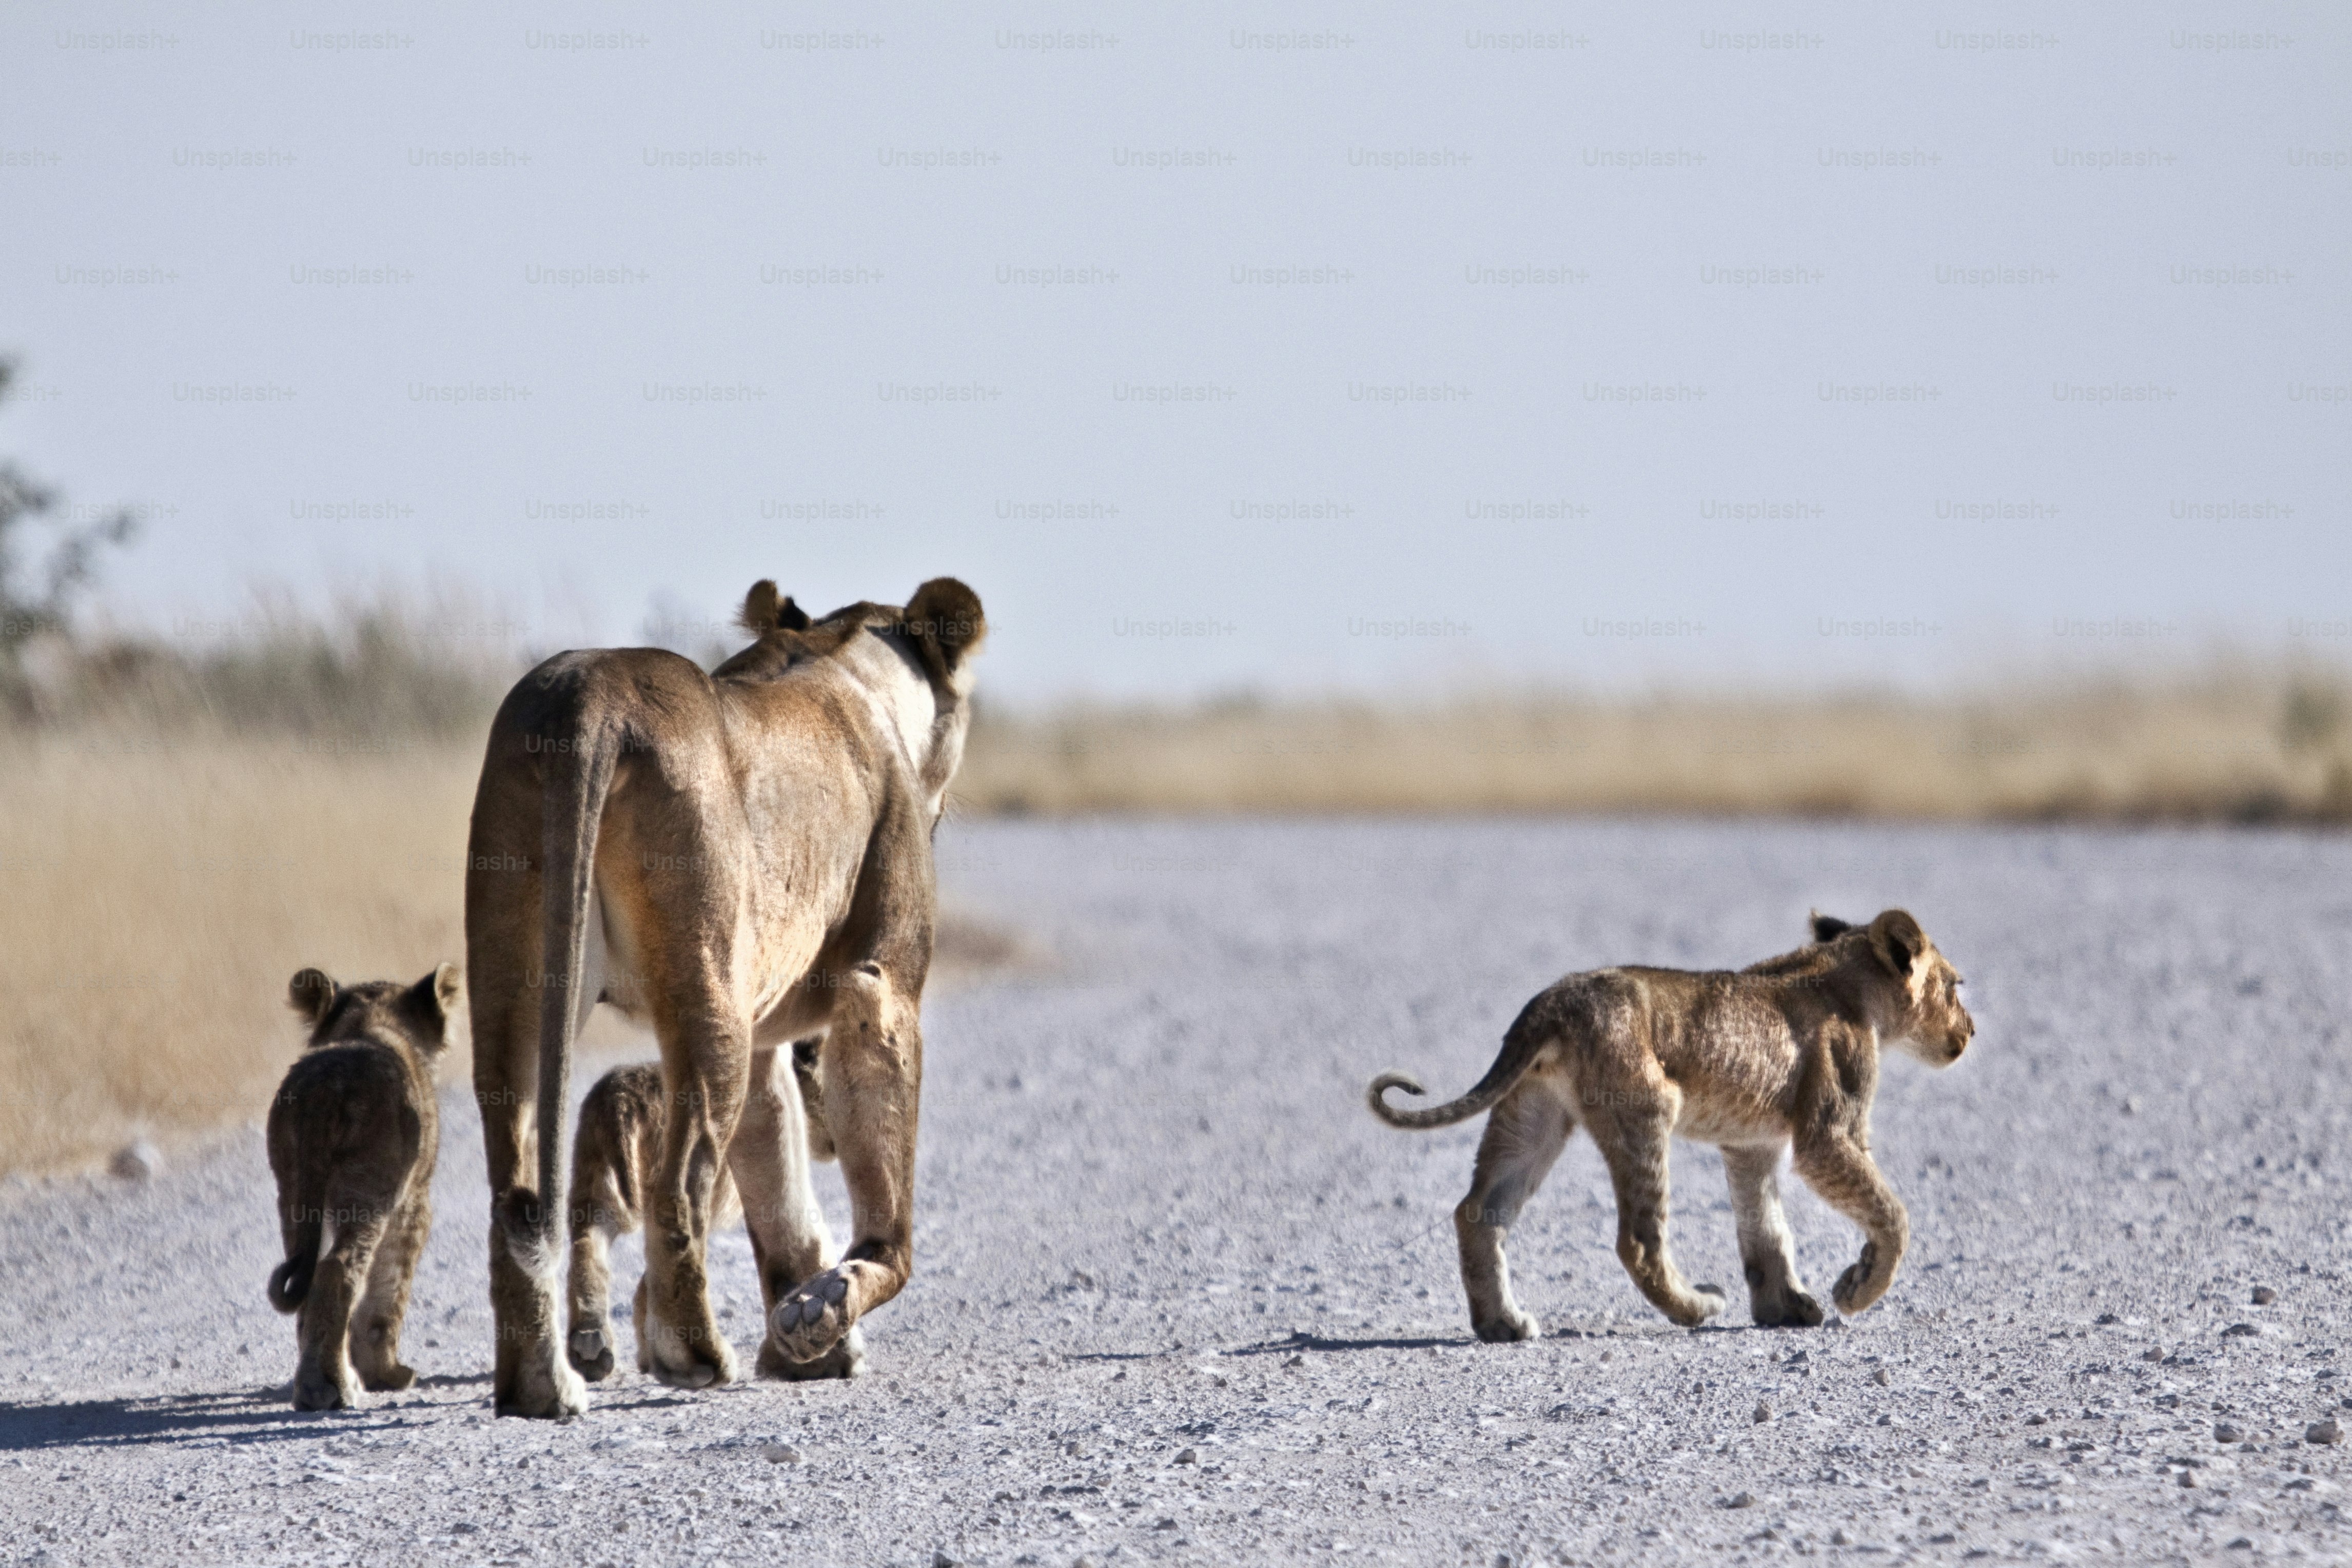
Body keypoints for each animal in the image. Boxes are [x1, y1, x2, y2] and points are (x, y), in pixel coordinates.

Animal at [266, 963, 462, 1409]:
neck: (371, 1021)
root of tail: (323, 1089)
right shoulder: (414, 1202)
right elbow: (391, 1289)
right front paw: (386, 1374)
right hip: (369, 1188)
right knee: (338, 1269)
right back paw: (333, 1386)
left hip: (294, 1189)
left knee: (309, 1274)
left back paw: (317, 1381)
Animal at [1368, 910, 1972, 1338]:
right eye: (1955, 986)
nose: (1970, 1031)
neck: (1847, 980)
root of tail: (1552, 1001)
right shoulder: (1828, 1133)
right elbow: (1891, 1213)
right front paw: (1857, 1287)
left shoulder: (1750, 1143)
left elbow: (1766, 1226)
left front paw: (1784, 1306)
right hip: (1646, 1108)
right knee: (1637, 1241)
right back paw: (1696, 1306)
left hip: (1532, 1113)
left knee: (1478, 1211)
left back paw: (1502, 1324)